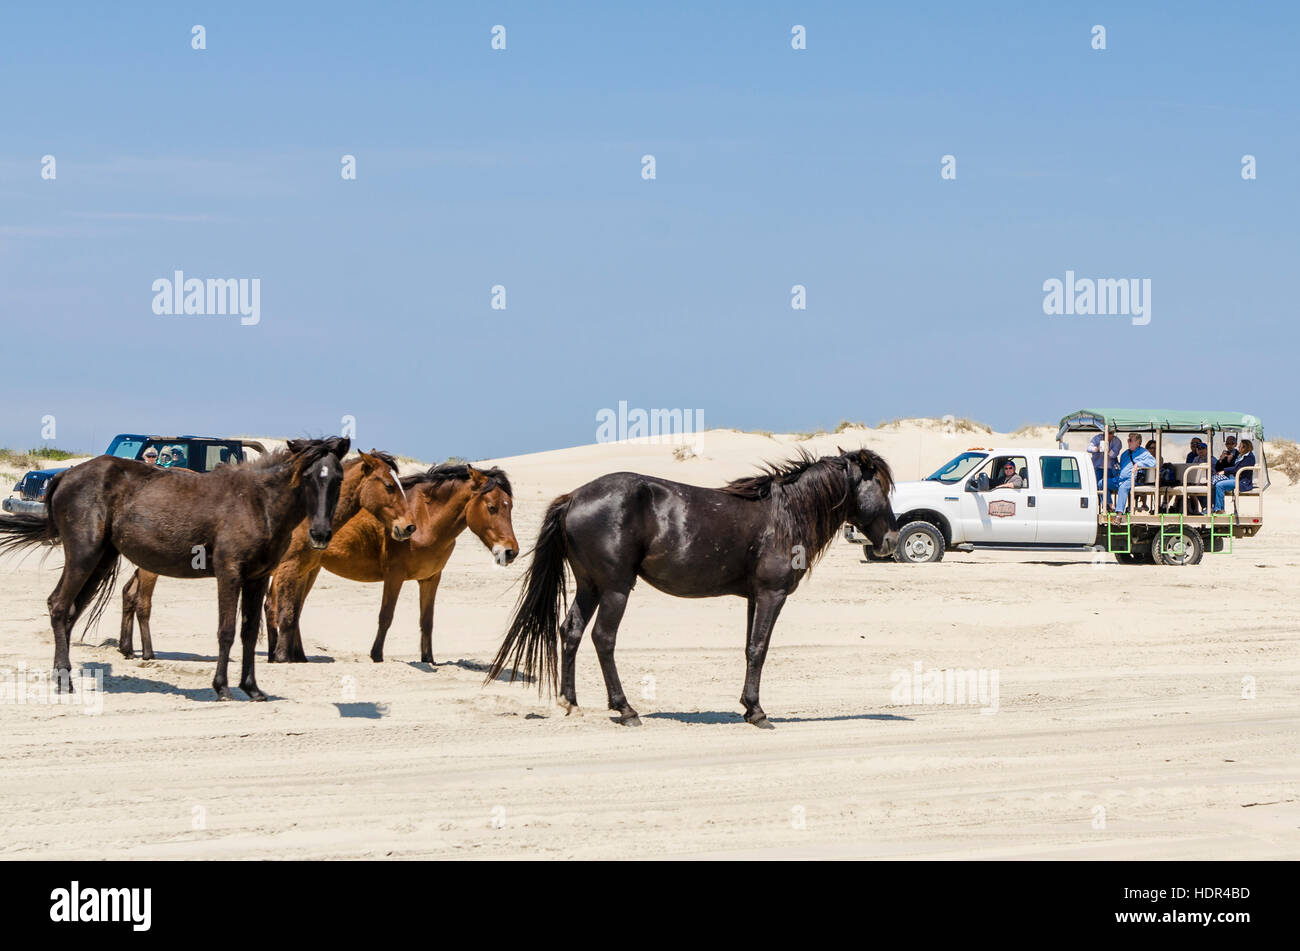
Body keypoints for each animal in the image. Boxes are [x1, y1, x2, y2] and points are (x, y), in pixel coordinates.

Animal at [0, 437, 350, 699]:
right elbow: (226, 631)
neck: (257, 501)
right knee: (59, 606)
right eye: (308, 476)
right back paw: (65, 682)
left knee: (70, 612)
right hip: (84, 556)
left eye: (337, 479)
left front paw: (252, 688)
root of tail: (65, 476)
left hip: (100, 560)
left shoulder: (257, 579)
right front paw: (222, 688)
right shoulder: (229, 573)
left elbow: (249, 633)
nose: (321, 533)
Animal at [118, 450, 418, 662]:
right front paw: (283, 656)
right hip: (152, 567)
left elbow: (290, 611)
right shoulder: (288, 569)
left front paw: (289, 655)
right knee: (143, 602)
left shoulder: (301, 570)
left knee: (129, 594)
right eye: (389, 486)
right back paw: (148, 652)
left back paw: (127, 648)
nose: (407, 527)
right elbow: (284, 612)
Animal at [266, 463, 519, 664]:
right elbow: (386, 616)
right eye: (492, 507)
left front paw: (428, 658)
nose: (511, 551)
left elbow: (427, 620)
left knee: (293, 608)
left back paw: (297, 656)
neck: (425, 519)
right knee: (274, 605)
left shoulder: (431, 579)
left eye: (510, 506)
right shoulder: (394, 575)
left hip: (310, 569)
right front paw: (376, 655)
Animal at [485, 447, 897, 728]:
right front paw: (758, 712)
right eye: (880, 486)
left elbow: (749, 649)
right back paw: (625, 708)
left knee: (570, 631)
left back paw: (570, 702)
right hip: (615, 588)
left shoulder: (754, 598)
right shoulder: (771, 595)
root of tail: (574, 497)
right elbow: (759, 649)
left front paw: (747, 706)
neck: (786, 514)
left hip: (590, 585)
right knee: (603, 638)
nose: (892, 540)